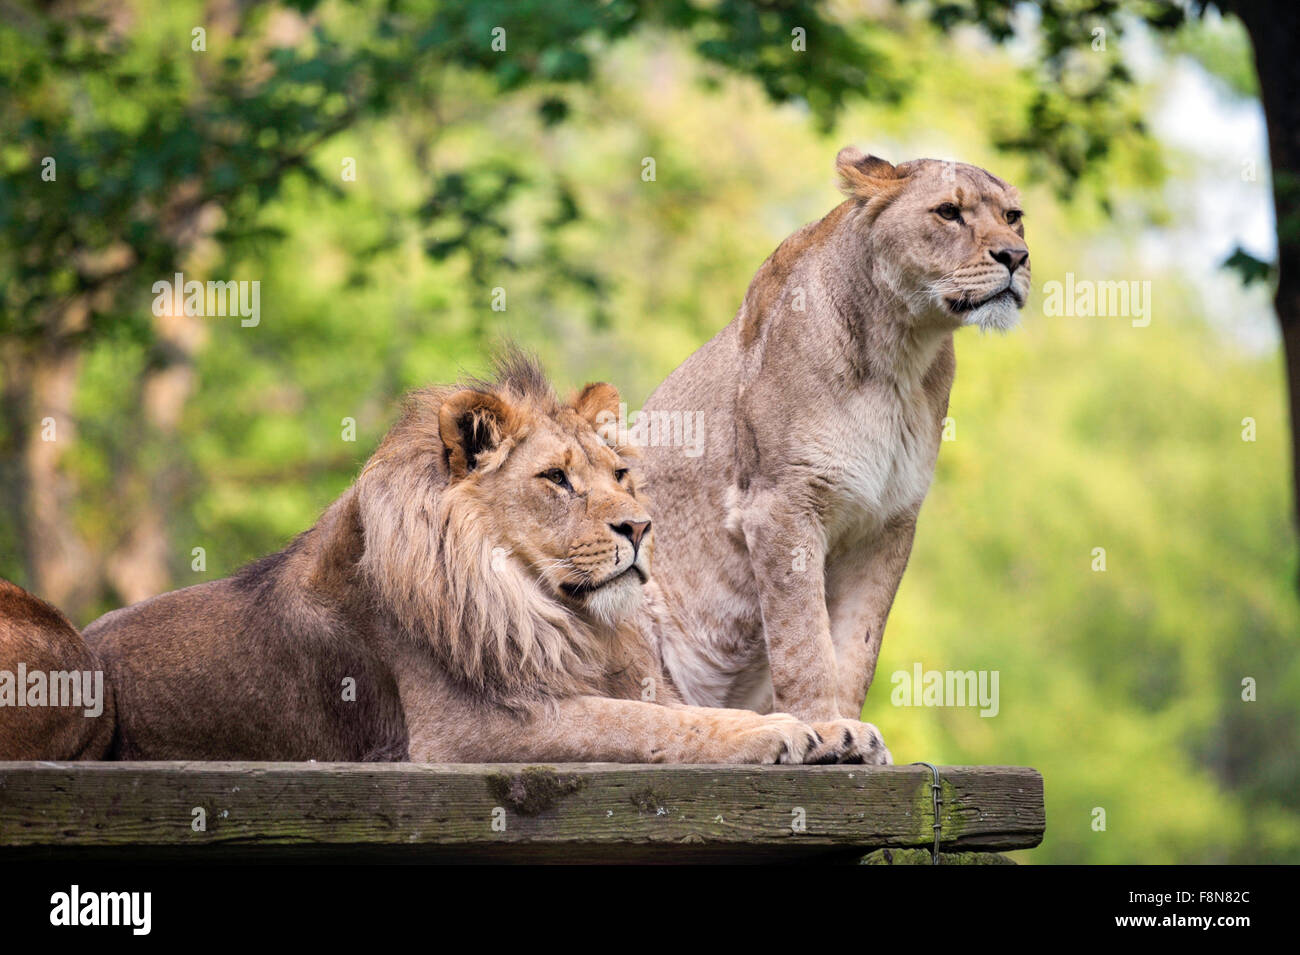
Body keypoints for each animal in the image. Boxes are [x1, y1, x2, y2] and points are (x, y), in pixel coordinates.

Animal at [84, 353, 873, 764]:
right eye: (556, 479)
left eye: (620, 475)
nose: (642, 527)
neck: (544, 609)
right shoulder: (470, 733)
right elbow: (639, 724)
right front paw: (774, 730)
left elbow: (667, 709)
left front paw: (837, 729)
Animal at [637, 148, 1030, 736]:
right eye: (948, 212)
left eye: (1013, 217)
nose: (1017, 257)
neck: (901, 355)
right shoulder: (779, 502)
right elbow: (804, 637)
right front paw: (823, 728)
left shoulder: (889, 520)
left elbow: (858, 643)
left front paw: (854, 734)